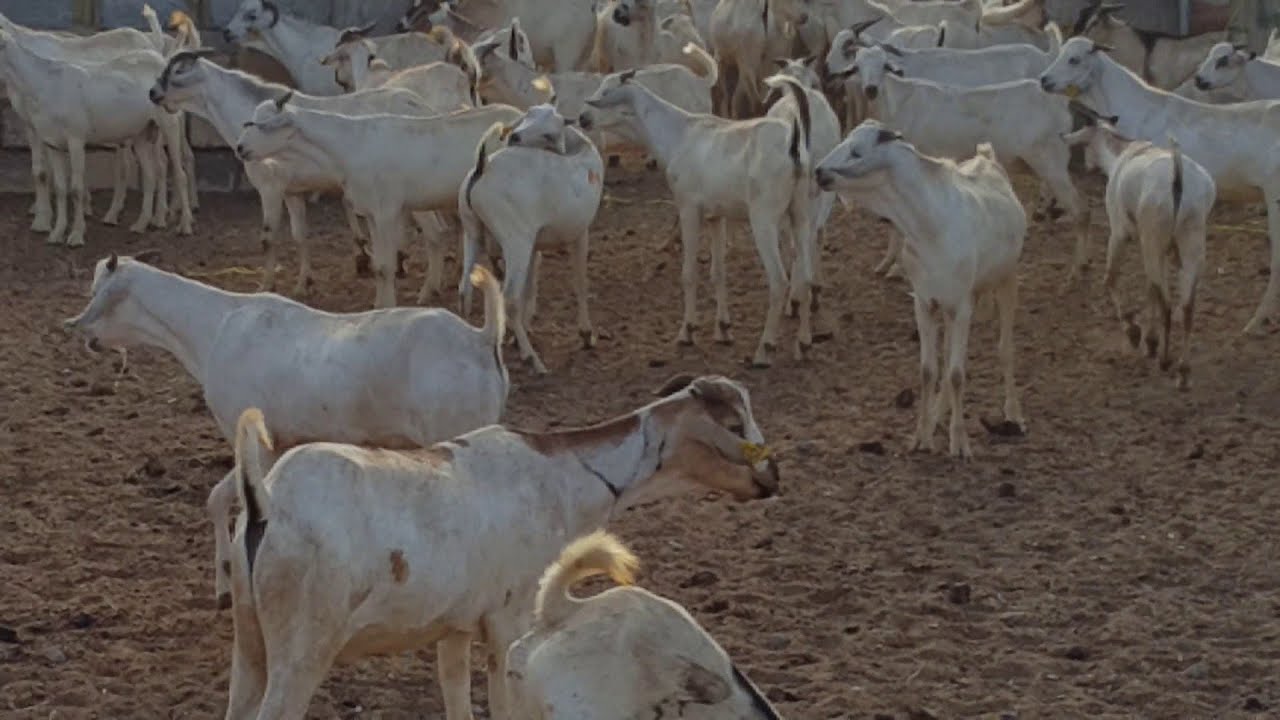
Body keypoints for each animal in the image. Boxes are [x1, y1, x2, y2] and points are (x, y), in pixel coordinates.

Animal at [63, 254, 510, 615]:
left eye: (97, 290)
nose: (82, 334)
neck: (217, 327)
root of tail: (479, 339)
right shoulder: (278, 447)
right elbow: (219, 500)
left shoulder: (255, 446)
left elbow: (229, 503)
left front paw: (228, 583)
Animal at [236, 93, 521, 308]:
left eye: (265, 125)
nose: (239, 148)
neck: (351, 145)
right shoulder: (372, 212)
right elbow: (378, 267)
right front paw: (378, 306)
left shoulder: (387, 211)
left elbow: (386, 266)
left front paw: (388, 307)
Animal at [457, 106, 604, 374]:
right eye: (527, 116)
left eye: (549, 133)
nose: (514, 136)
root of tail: (483, 167)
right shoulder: (580, 234)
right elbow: (580, 282)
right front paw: (586, 334)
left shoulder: (535, 246)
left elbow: (531, 285)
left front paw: (520, 333)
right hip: (516, 241)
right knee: (510, 298)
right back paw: (532, 358)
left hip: (472, 230)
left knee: (465, 289)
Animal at [580, 73, 815, 367]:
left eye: (607, 91)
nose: (582, 118)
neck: (680, 134)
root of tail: (793, 146)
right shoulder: (717, 217)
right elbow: (718, 273)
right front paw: (723, 329)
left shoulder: (689, 209)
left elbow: (689, 273)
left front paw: (687, 331)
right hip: (800, 215)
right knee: (805, 279)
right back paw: (804, 344)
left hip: (764, 219)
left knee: (780, 281)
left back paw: (764, 350)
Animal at [816, 121, 1026, 458]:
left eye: (857, 151)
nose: (819, 172)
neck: (931, 226)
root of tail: (987, 158)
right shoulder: (925, 303)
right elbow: (929, 370)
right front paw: (921, 437)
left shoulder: (961, 306)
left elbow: (957, 374)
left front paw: (960, 443)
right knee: (947, 356)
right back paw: (939, 418)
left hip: (1006, 281)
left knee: (1004, 350)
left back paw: (1013, 415)